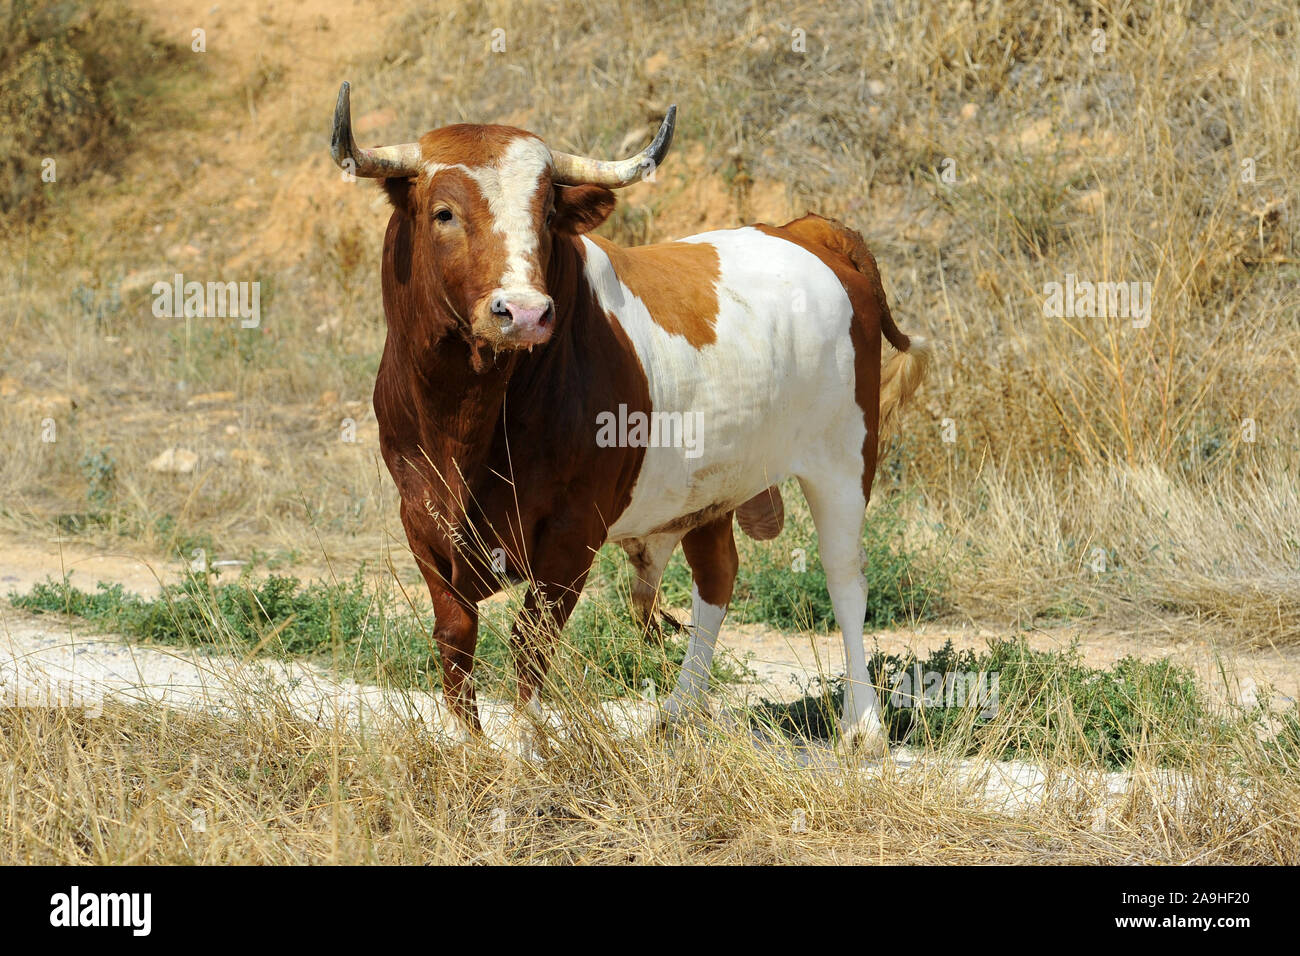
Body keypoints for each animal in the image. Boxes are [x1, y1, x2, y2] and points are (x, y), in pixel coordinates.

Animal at [330, 81, 930, 754]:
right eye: (444, 213)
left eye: (547, 215)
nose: (526, 313)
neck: (467, 415)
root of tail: (810, 230)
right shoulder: (422, 519)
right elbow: (456, 637)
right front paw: (468, 747)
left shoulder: (573, 532)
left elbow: (531, 641)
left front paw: (524, 749)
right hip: (712, 488)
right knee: (717, 581)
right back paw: (678, 715)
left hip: (843, 460)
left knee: (845, 581)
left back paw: (863, 725)